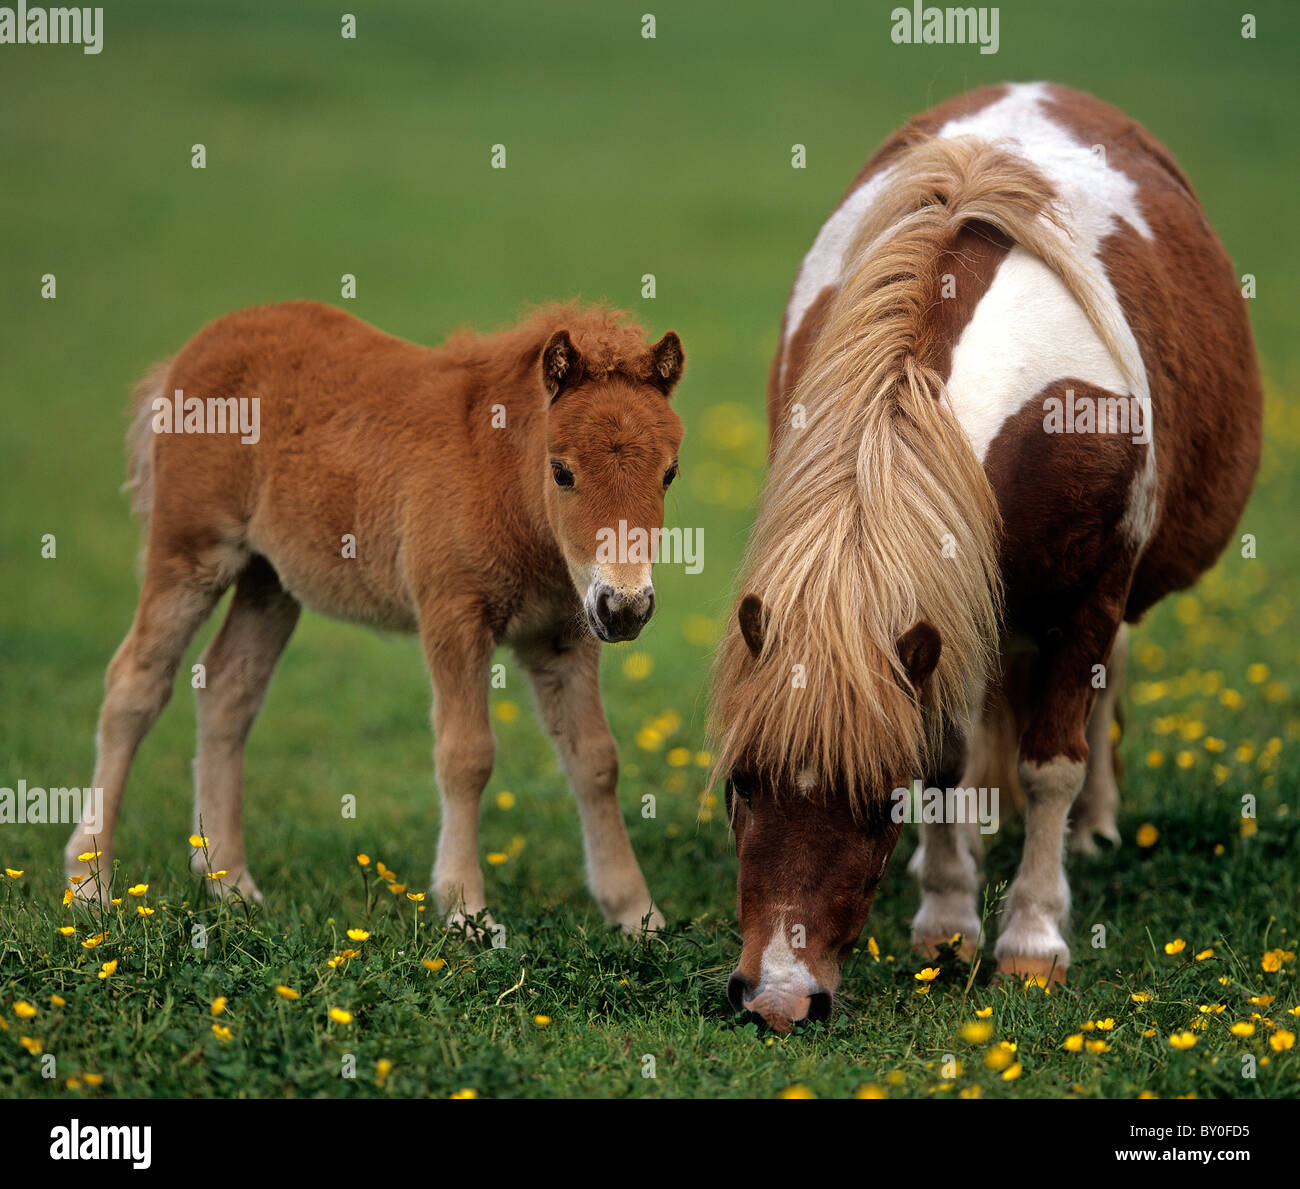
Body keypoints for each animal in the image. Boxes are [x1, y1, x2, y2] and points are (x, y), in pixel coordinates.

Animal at [65, 300, 685, 933]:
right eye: (561, 471)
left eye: (669, 473)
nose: (627, 607)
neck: (498, 477)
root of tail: (191, 351)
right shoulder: (452, 614)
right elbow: (466, 756)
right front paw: (466, 911)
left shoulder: (566, 632)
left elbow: (596, 759)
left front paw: (636, 913)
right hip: (189, 549)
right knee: (136, 683)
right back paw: (90, 884)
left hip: (270, 579)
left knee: (228, 688)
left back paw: (230, 884)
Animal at [710, 83, 1262, 1031]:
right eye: (742, 781)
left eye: (878, 800)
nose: (779, 999)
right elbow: (947, 757)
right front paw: (947, 922)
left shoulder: (1091, 594)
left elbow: (1050, 764)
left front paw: (1032, 942)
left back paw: (1095, 828)